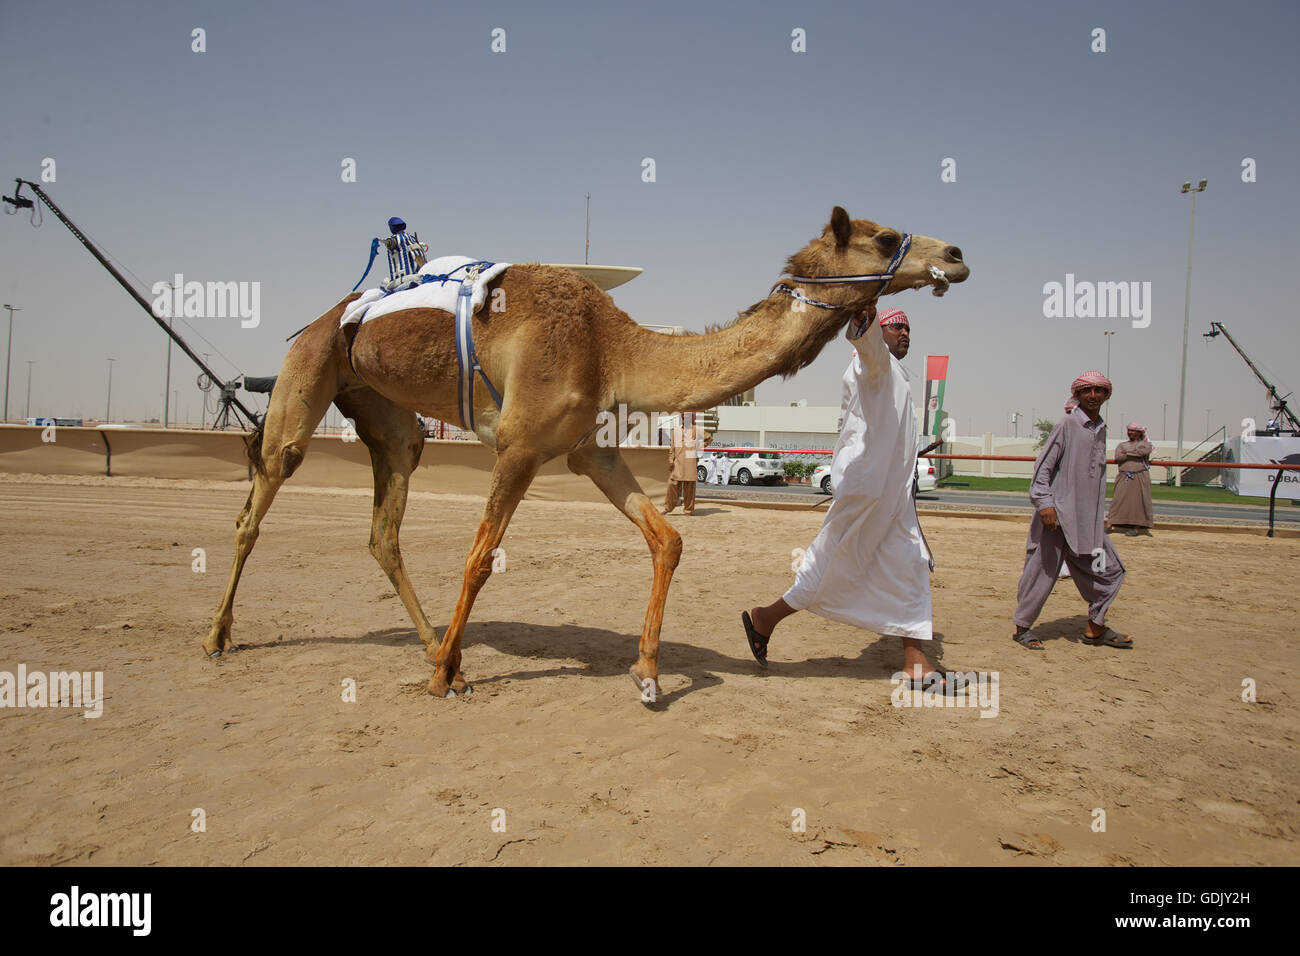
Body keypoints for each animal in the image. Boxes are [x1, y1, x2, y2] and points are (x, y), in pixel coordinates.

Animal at [202, 207, 969, 700]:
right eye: (885, 236)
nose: (957, 255)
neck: (611, 346)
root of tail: (337, 314)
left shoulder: (587, 452)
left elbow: (667, 539)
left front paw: (649, 673)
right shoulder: (518, 446)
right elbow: (480, 557)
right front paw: (442, 678)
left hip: (389, 418)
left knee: (383, 529)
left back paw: (432, 646)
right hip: (306, 377)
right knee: (255, 502)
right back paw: (219, 637)